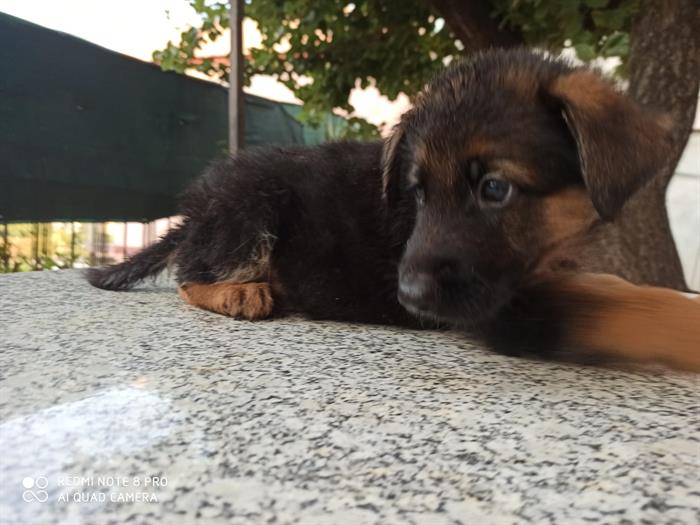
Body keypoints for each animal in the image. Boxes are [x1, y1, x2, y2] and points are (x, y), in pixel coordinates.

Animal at [87, 48, 700, 368]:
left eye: (494, 189)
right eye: (419, 191)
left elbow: (620, 290)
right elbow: (637, 311)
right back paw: (241, 293)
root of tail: (201, 205)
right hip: (253, 208)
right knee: (191, 275)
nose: (407, 296)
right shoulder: (512, 312)